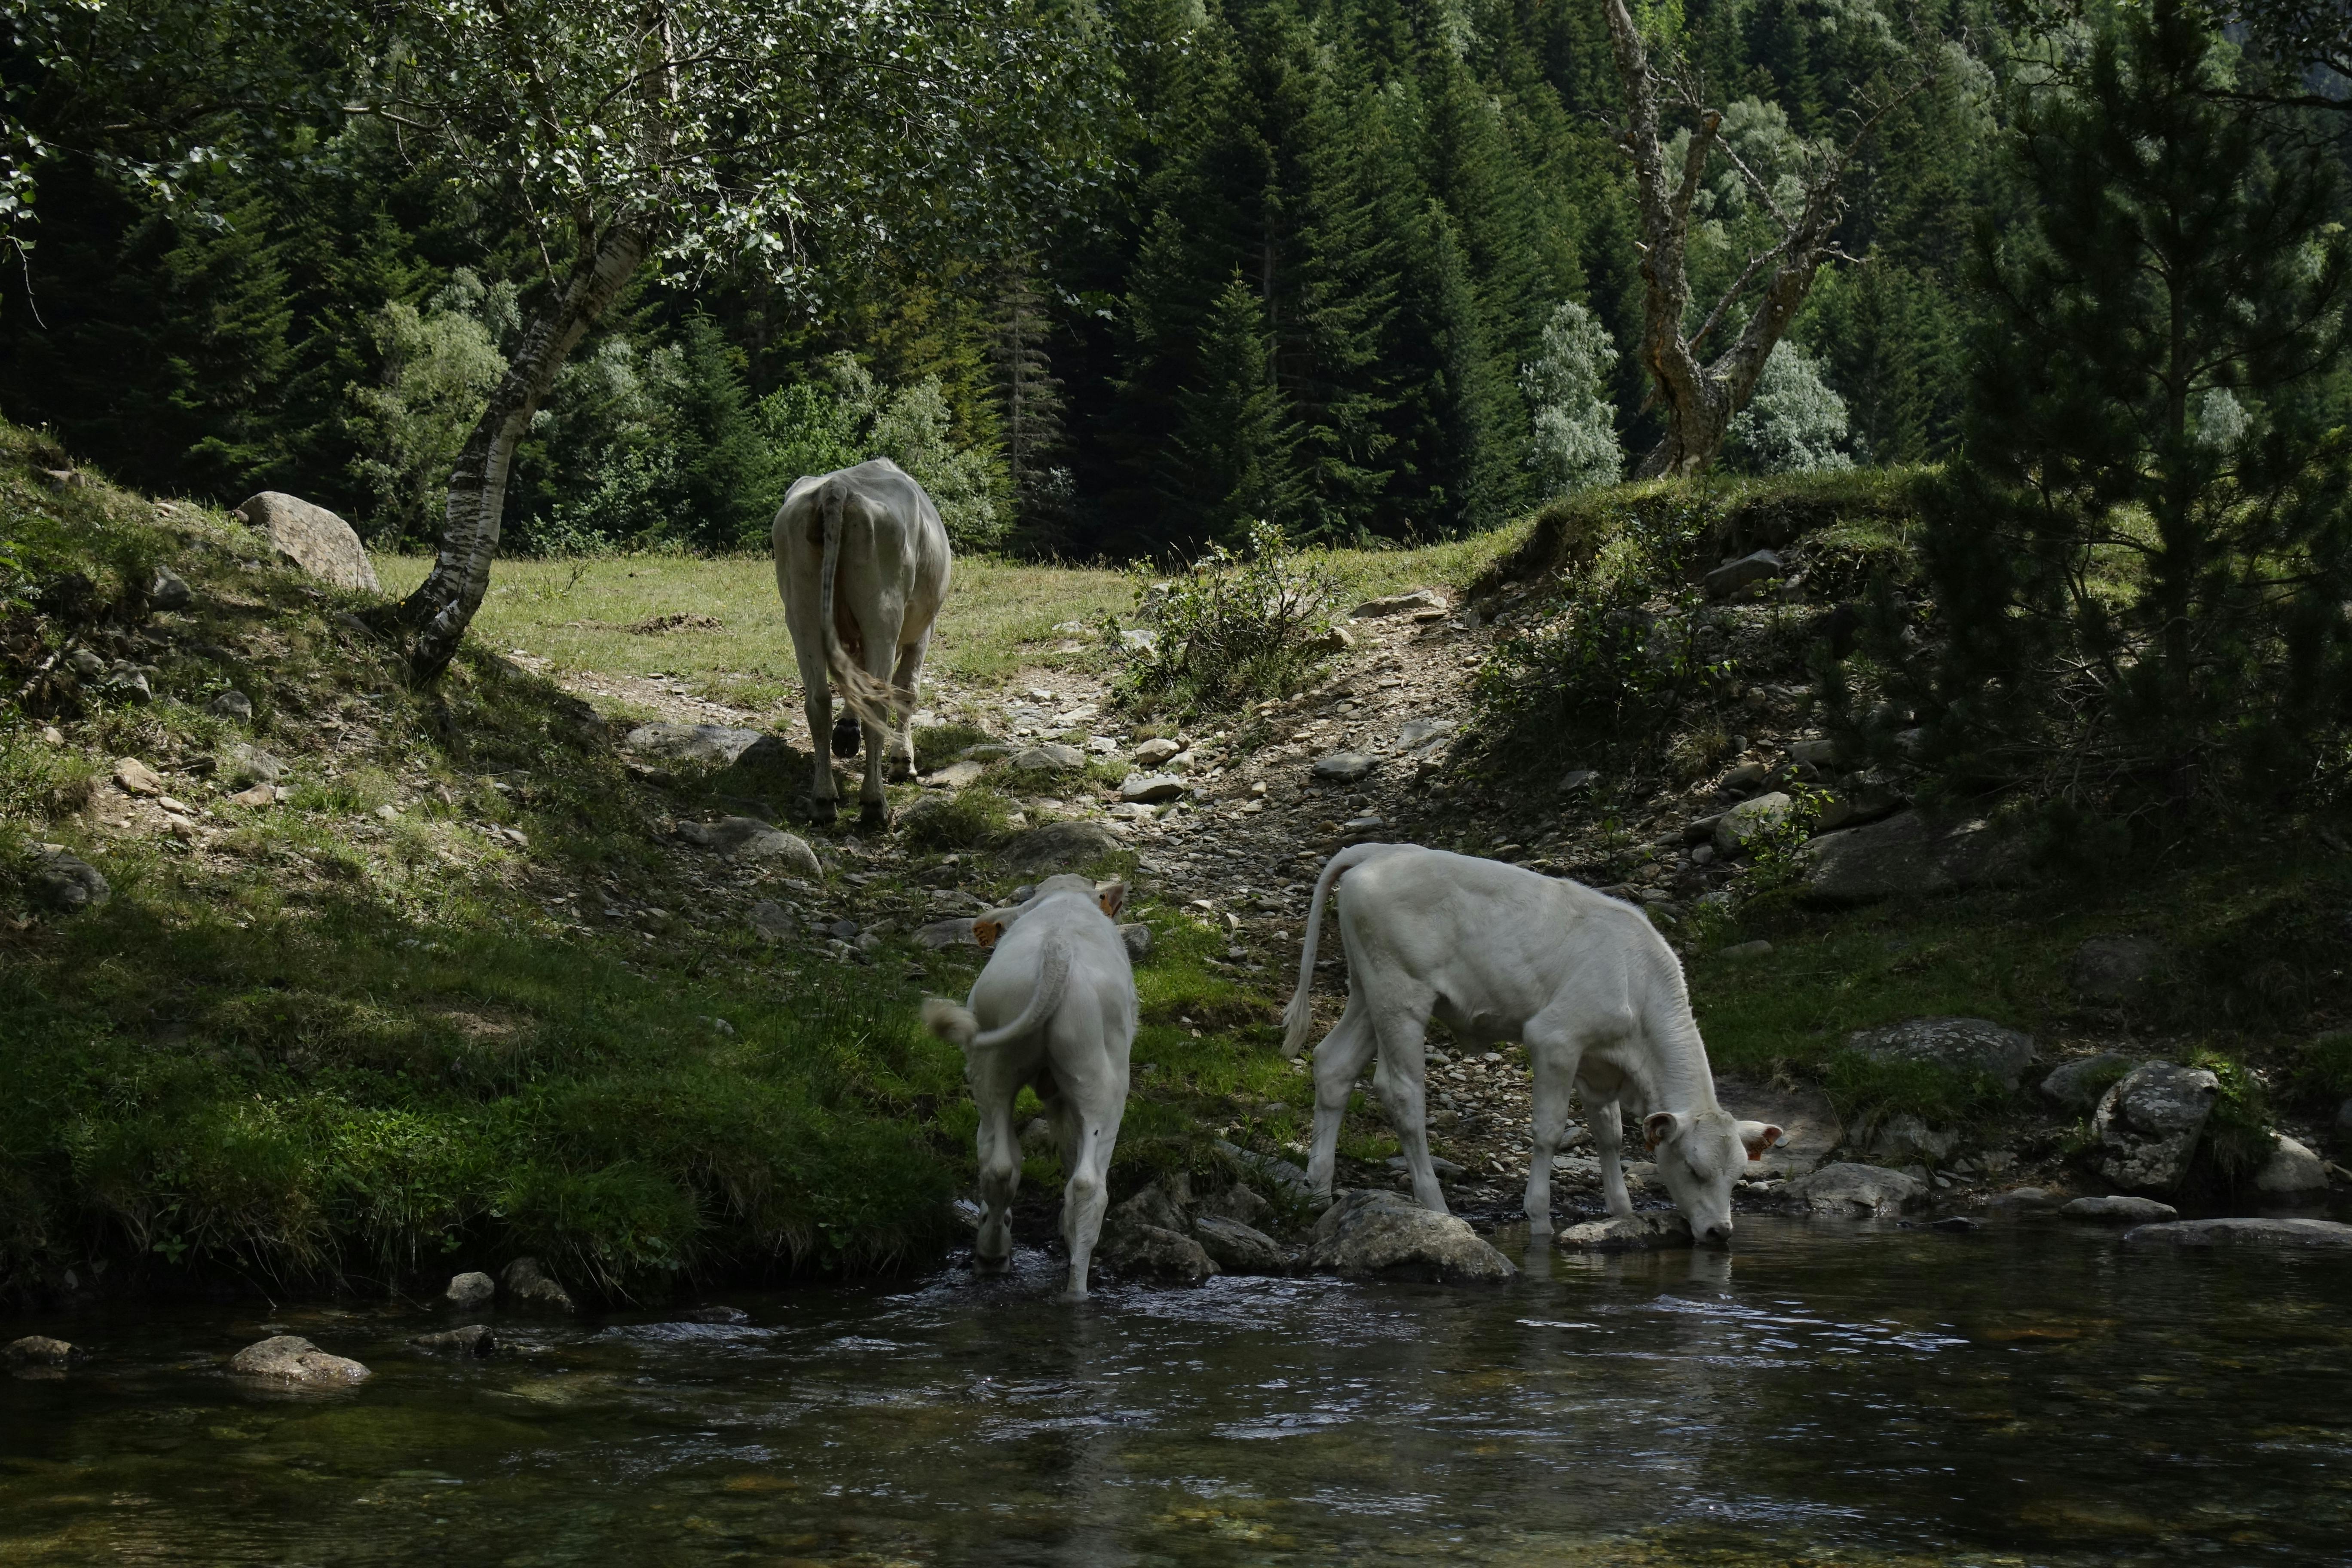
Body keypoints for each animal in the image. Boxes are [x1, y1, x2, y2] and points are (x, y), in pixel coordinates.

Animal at [771, 458, 952, 825]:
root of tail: (836, 487)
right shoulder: (924, 630)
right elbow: (907, 690)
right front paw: (903, 761)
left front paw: (846, 733)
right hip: (882, 614)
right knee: (878, 701)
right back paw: (874, 803)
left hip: (801, 611)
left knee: (818, 700)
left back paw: (823, 799)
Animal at [923, 875, 1138, 1299]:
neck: (1065, 900)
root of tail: (1058, 949)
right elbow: (1071, 1150)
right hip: (1103, 1078)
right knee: (1086, 1183)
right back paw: (1071, 1286)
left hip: (997, 1065)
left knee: (1001, 1166)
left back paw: (996, 1258)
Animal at [1281, 844, 1780, 1245]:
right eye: (1695, 1170)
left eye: (1738, 1175)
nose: (1720, 1232)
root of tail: (1378, 850)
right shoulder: (1555, 1038)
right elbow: (1549, 1130)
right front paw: (1539, 1218)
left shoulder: (1599, 1065)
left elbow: (1610, 1135)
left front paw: (1622, 1212)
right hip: (1400, 993)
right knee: (1401, 1092)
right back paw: (1436, 1207)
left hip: (1368, 991)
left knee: (1334, 1065)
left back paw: (1318, 1191)